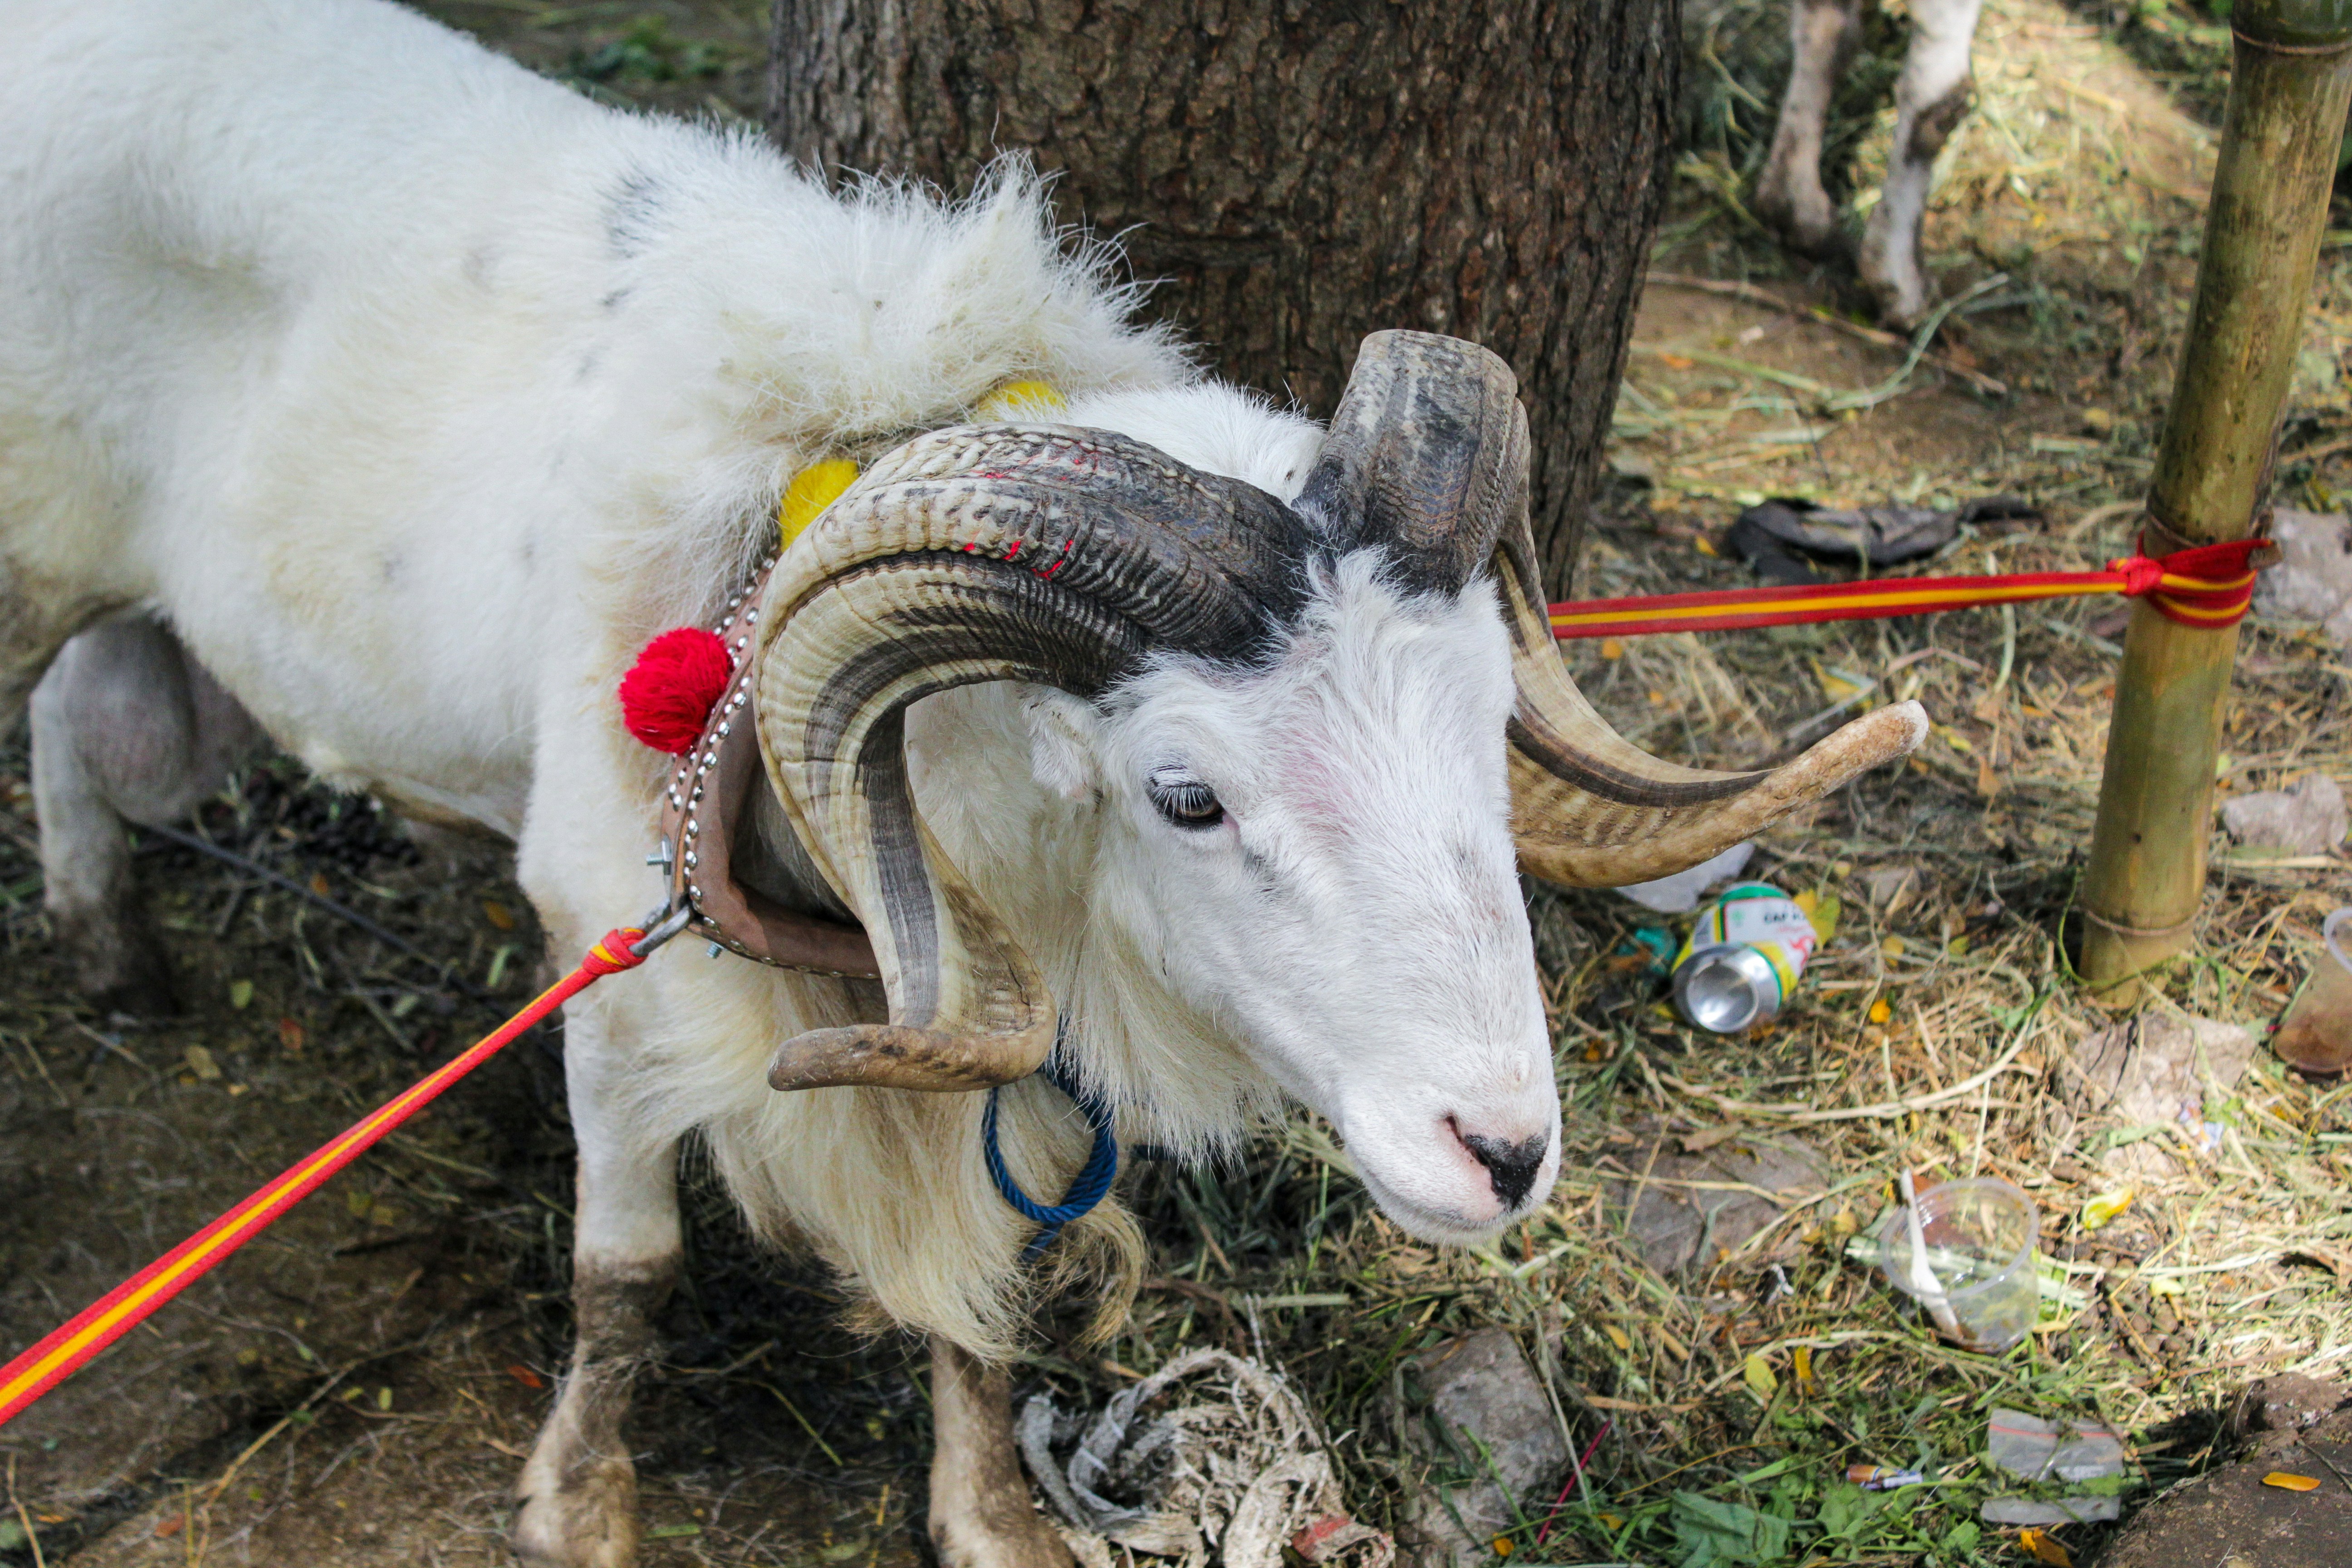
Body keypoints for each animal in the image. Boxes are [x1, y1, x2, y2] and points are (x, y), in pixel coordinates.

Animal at [0, 2, 1925, 1564]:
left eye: (1478, 729)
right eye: (1185, 795)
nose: (1505, 1153)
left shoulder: (985, 1015)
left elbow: (978, 1284)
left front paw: (989, 1512)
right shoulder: (612, 963)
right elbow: (626, 1276)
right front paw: (580, 1508)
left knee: (88, 723)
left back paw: (114, 948)